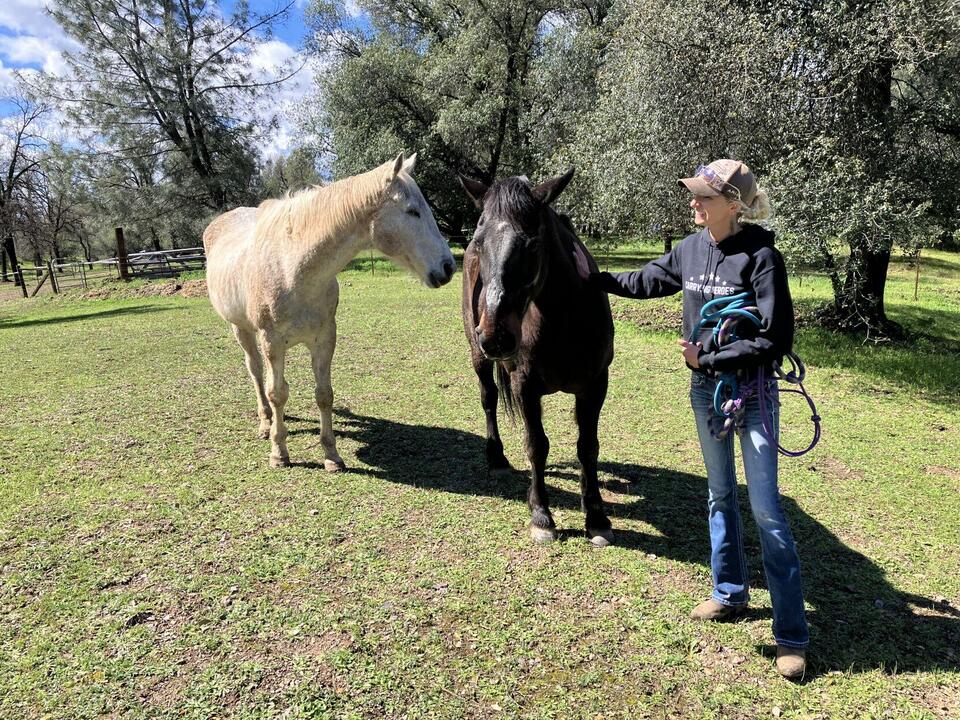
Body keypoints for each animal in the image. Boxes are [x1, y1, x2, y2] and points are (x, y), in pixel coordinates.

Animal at [204, 153, 456, 469]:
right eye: (412, 211)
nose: (448, 267)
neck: (292, 267)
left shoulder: (324, 337)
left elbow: (324, 395)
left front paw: (332, 456)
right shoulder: (272, 342)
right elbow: (277, 393)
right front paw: (279, 452)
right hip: (242, 330)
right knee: (256, 372)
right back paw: (265, 423)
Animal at [459, 168, 616, 545]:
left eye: (531, 244)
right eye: (479, 241)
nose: (496, 335)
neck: (563, 321)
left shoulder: (595, 385)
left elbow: (588, 446)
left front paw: (596, 516)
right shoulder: (525, 385)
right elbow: (536, 446)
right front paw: (542, 516)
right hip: (478, 357)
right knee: (488, 398)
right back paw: (496, 457)